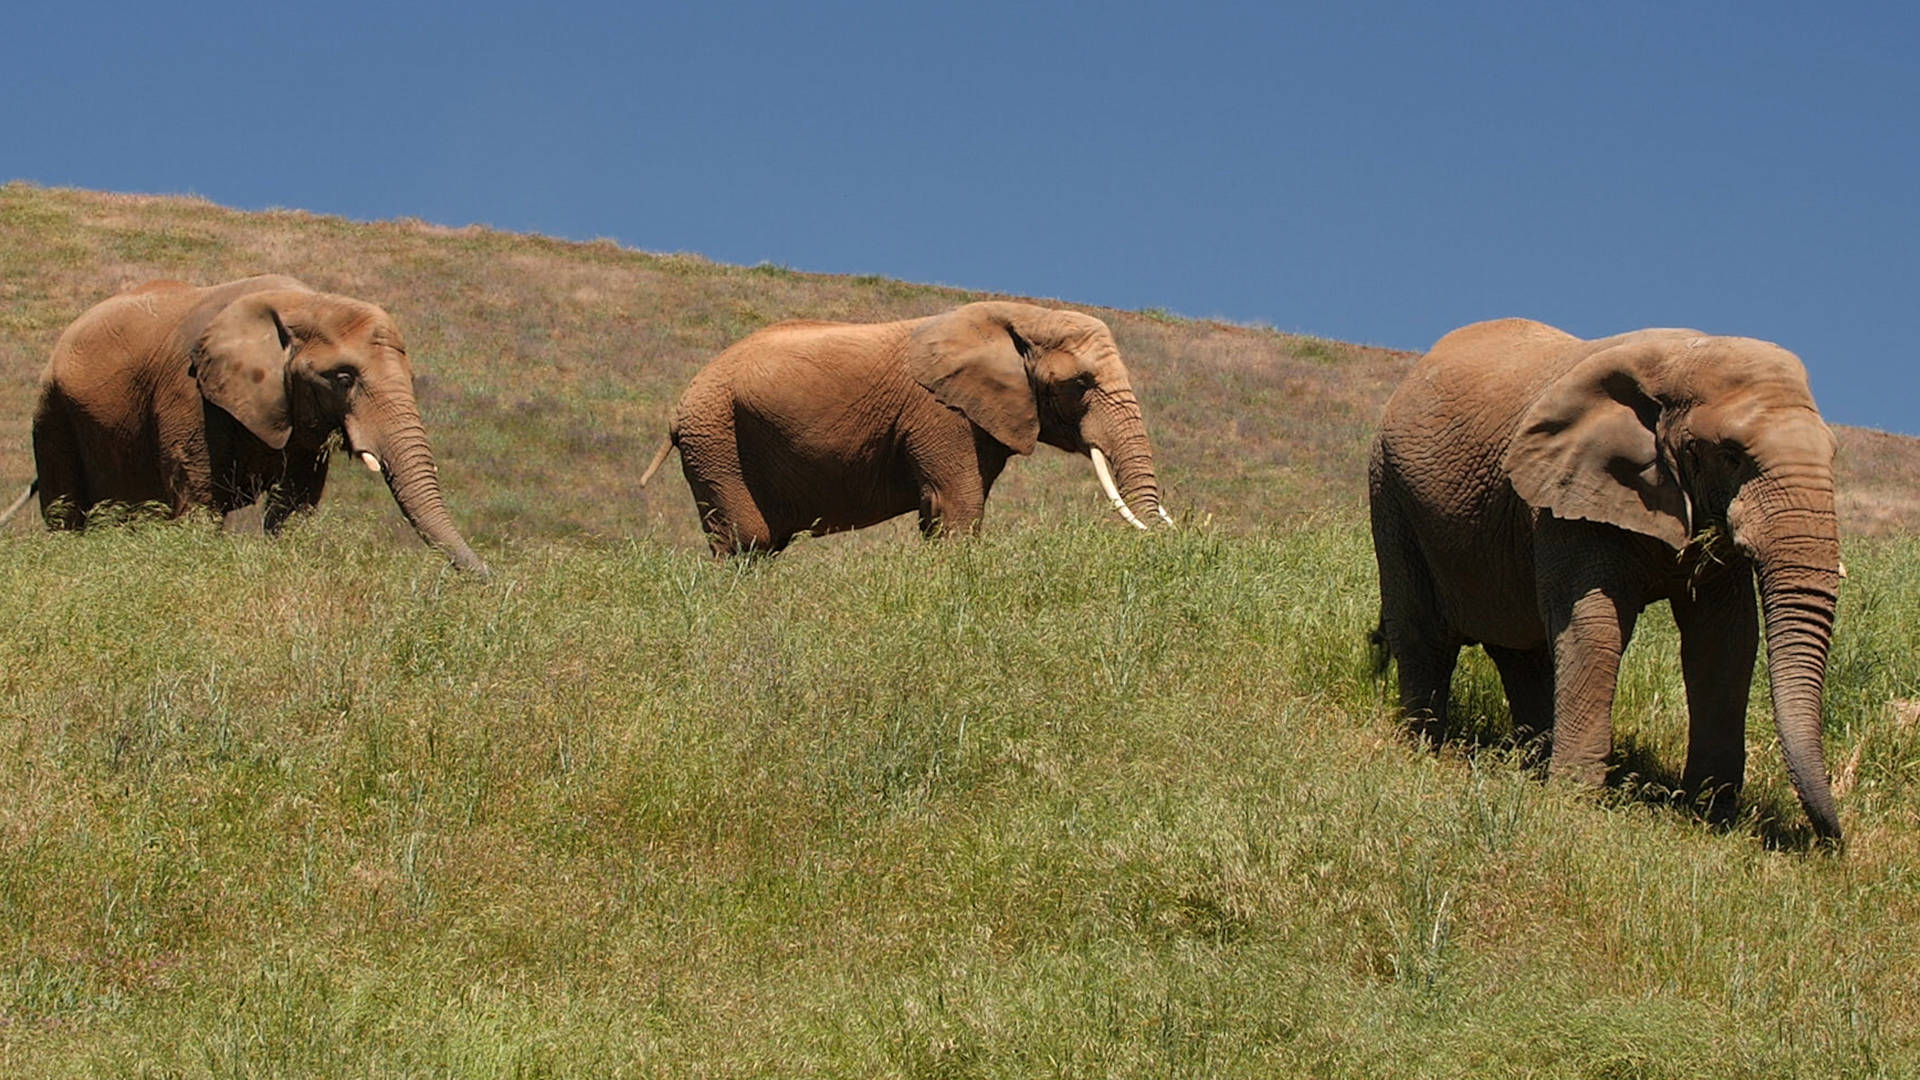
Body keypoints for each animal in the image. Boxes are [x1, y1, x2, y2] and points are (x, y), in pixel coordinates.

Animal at [2, 275, 488, 574]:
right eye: (343, 378)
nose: (491, 577)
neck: (303, 302)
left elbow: (294, 503)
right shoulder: (188, 390)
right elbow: (198, 498)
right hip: (52, 413)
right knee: (66, 511)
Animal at [639, 301, 1169, 555]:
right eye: (1079, 384)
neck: (1020, 315)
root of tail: (679, 407)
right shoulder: (941, 413)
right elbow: (958, 507)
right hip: (715, 437)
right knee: (747, 541)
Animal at [1368, 318, 1844, 841]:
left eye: (1833, 454)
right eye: (1730, 455)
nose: (1832, 840)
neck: (1680, 363)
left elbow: (1724, 640)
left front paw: (1709, 816)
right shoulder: (1565, 492)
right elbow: (1594, 625)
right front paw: (1573, 802)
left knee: (1522, 649)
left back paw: (1531, 763)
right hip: (1389, 491)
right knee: (1424, 633)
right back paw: (1426, 748)